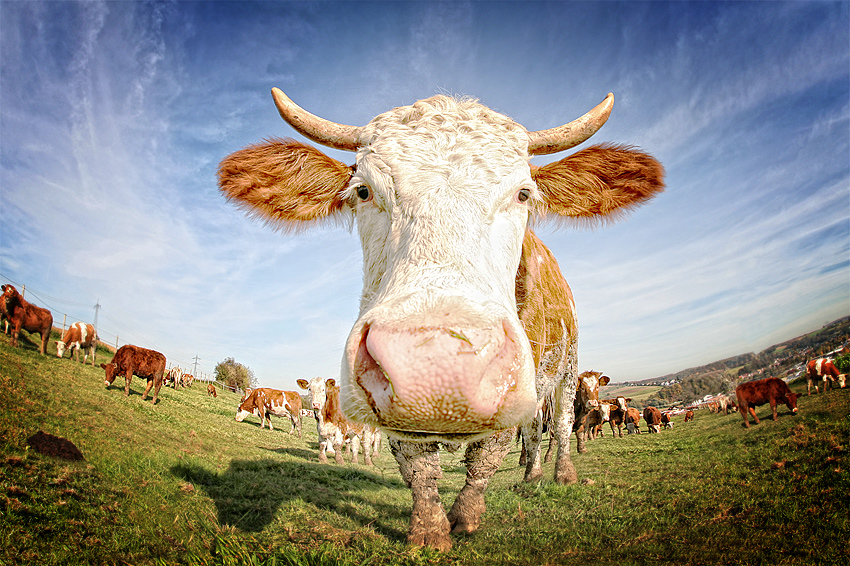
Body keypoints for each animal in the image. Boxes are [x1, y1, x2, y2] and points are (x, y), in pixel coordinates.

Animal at [219, 88, 663, 550]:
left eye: (523, 194)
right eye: (363, 191)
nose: (438, 365)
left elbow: (487, 456)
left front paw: (465, 517)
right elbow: (418, 467)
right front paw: (429, 529)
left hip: (568, 367)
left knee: (559, 423)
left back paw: (562, 474)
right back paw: (530, 476)